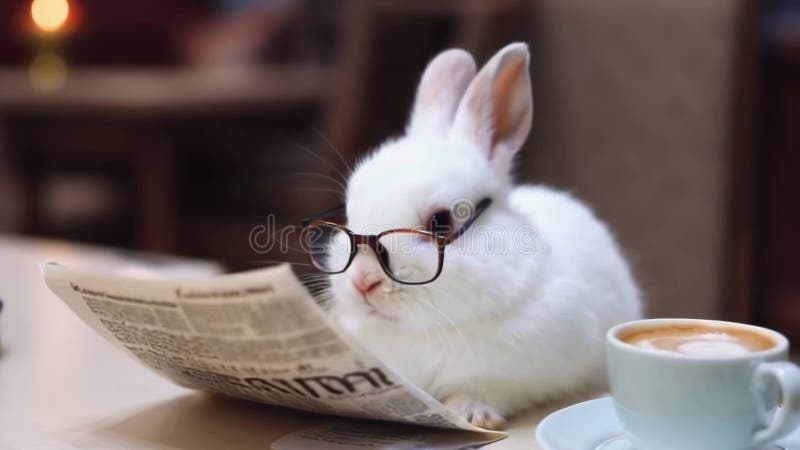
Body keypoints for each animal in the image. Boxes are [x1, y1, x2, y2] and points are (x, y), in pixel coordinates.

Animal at [325, 42, 642, 430]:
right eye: (348, 215)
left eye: (441, 222)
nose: (362, 282)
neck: (432, 330)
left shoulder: (513, 377)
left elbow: (483, 389)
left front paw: (472, 414)